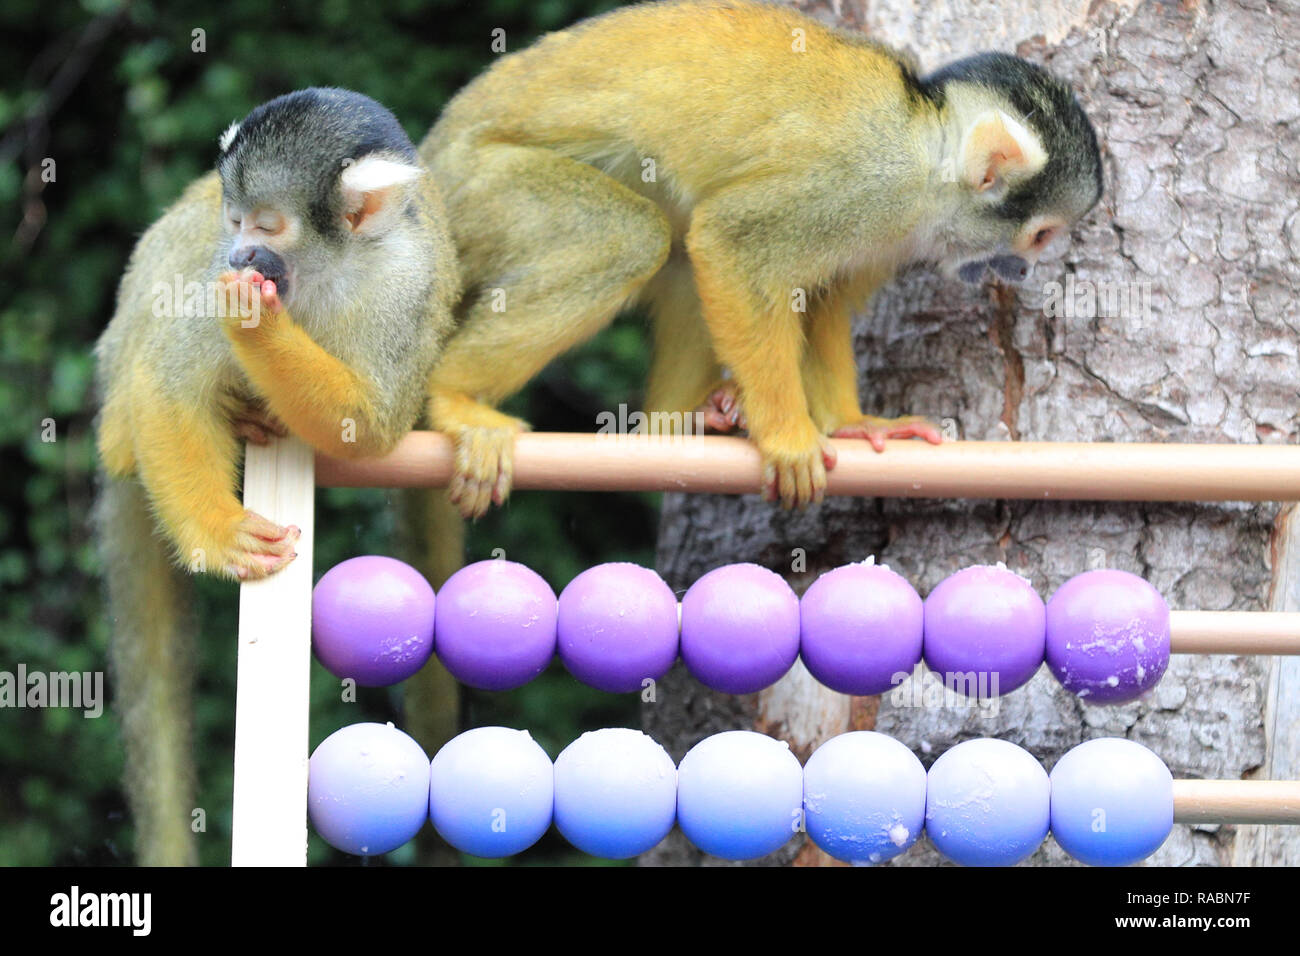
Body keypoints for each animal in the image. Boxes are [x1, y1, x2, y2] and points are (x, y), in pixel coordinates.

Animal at [92, 87, 460, 864]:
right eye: (236, 221)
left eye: (268, 225)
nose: (239, 252)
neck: (321, 273)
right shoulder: (211, 269)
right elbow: (168, 388)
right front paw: (220, 537)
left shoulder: (404, 282)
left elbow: (373, 424)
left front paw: (259, 328)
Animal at [415, 0, 1102, 516]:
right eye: (1041, 235)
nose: (1025, 270)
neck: (927, 152)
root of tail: (434, 151)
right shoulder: (867, 183)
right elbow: (731, 243)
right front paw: (789, 437)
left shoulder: (888, 225)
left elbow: (820, 297)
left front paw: (853, 423)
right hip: (483, 188)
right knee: (634, 238)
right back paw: (453, 395)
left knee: (679, 254)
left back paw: (679, 422)